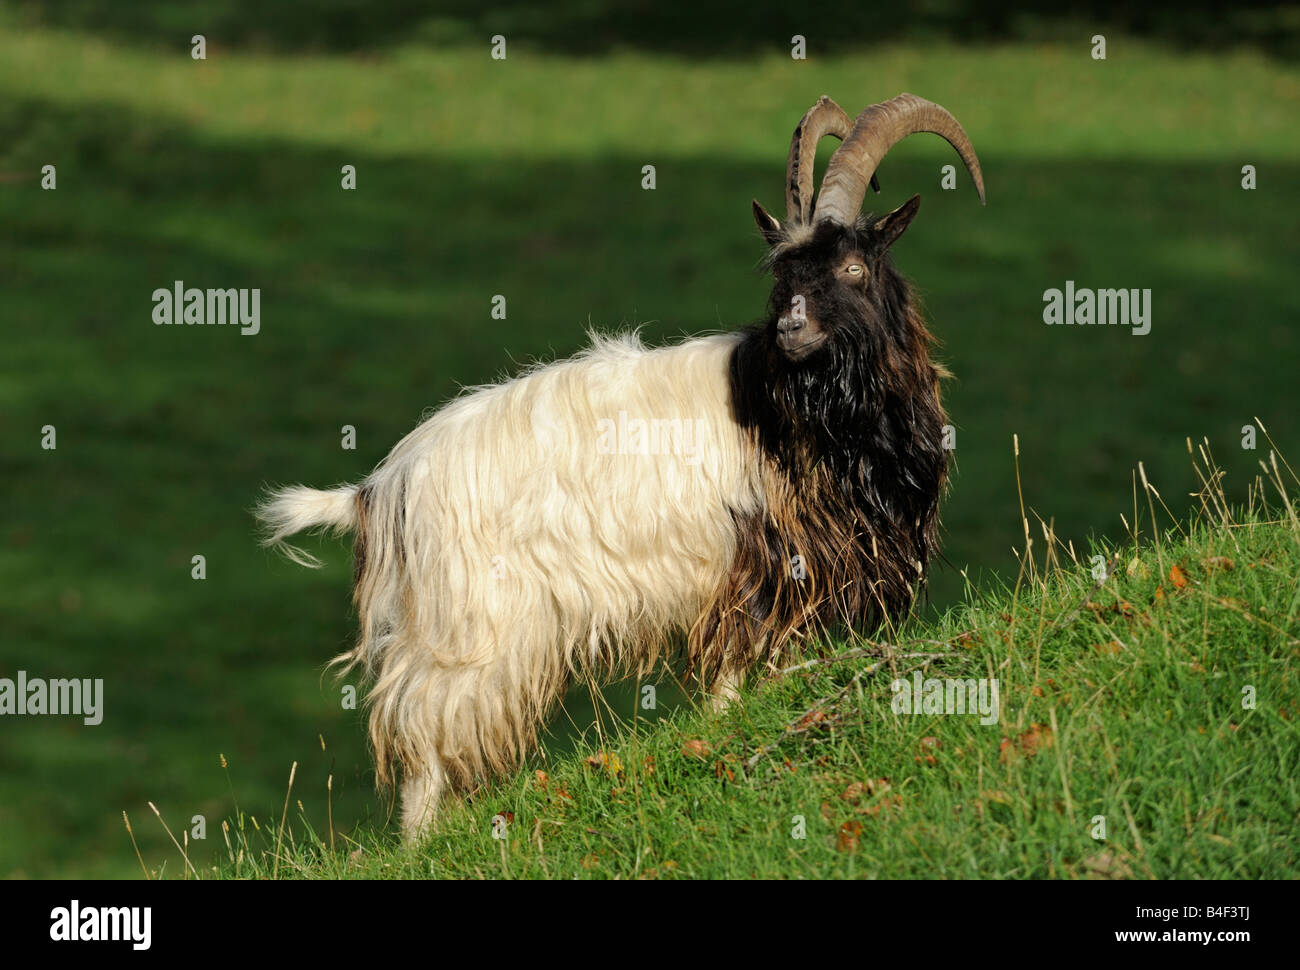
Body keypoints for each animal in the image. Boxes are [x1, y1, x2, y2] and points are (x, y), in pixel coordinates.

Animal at [257, 93, 985, 839]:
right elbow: (732, 674)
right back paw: (421, 844)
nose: (792, 329)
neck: (797, 406)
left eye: (854, 269)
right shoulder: (753, 561)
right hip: (466, 629)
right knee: (424, 741)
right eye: (784, 275)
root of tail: (382, 486)